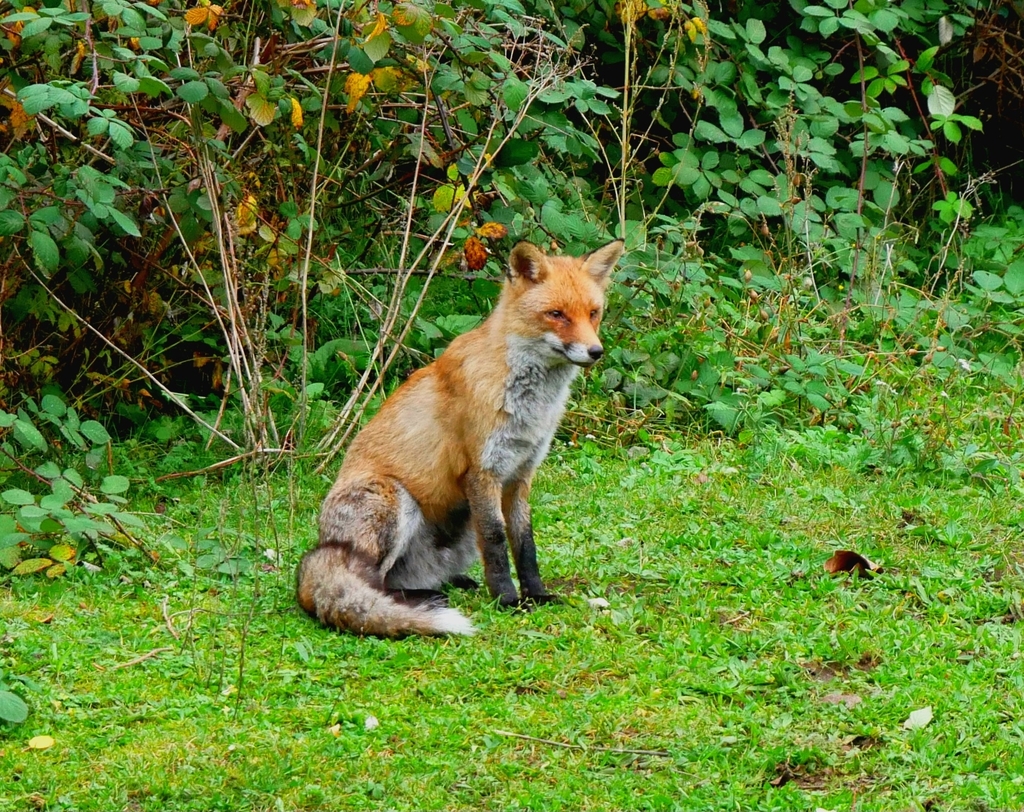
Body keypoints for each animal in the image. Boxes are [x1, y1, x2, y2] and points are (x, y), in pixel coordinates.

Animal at [296, 239, 624, 637]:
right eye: (557, 314)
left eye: (593, 313)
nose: (596, 352)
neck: (529, 403)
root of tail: (322, 547)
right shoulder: (482, 472)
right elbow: (497, 542)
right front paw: (508, 600)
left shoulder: (520, 475)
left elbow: (524, 542)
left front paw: (537, 594)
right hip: (397, 503)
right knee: (370, 582)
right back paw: (416, 603)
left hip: (462, 527)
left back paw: (449, 584)